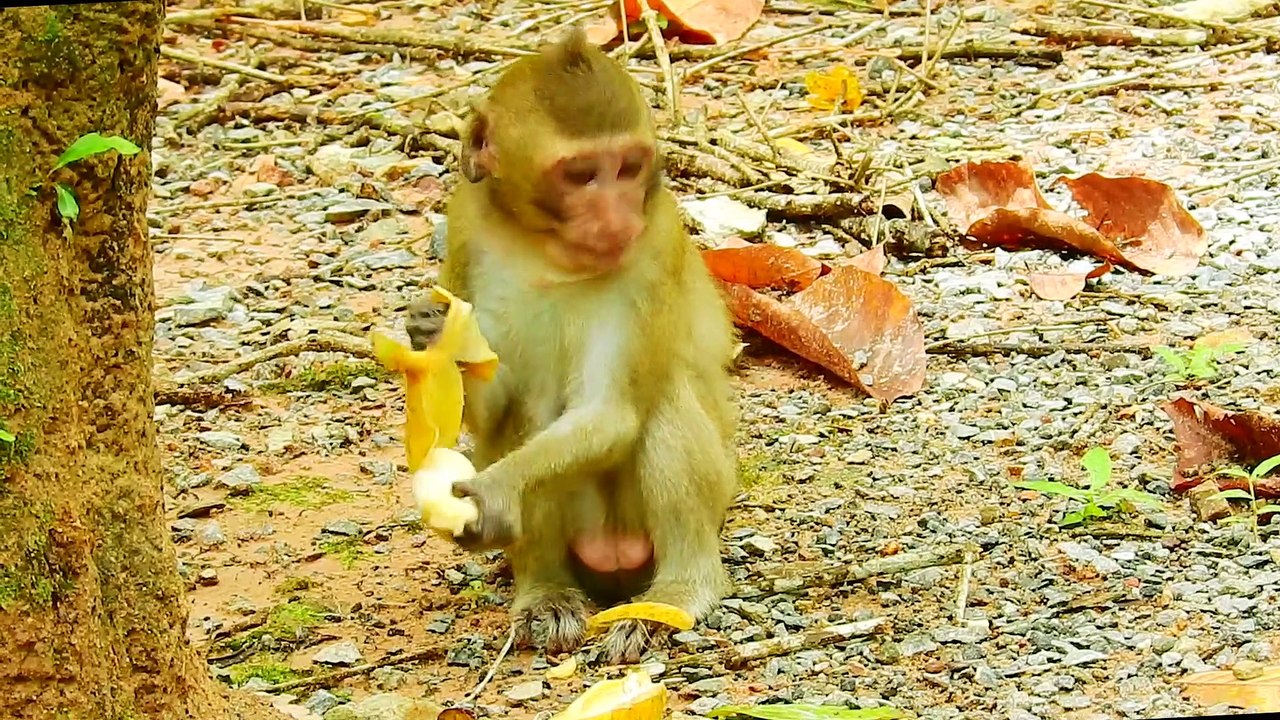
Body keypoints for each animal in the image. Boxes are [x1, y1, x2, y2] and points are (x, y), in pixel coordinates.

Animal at [405, 27, 738, 665]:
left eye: (628, 167)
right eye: (582, 174)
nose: (616, 217)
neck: (546, 250)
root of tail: (614, 555)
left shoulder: (654, 245)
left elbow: (611, 414)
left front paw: (496, 490)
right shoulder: (466, 232)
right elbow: (493, 407)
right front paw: (435, 334)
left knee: (661, 404)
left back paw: (679, 592)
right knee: (527, 414)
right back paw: (545, 591)